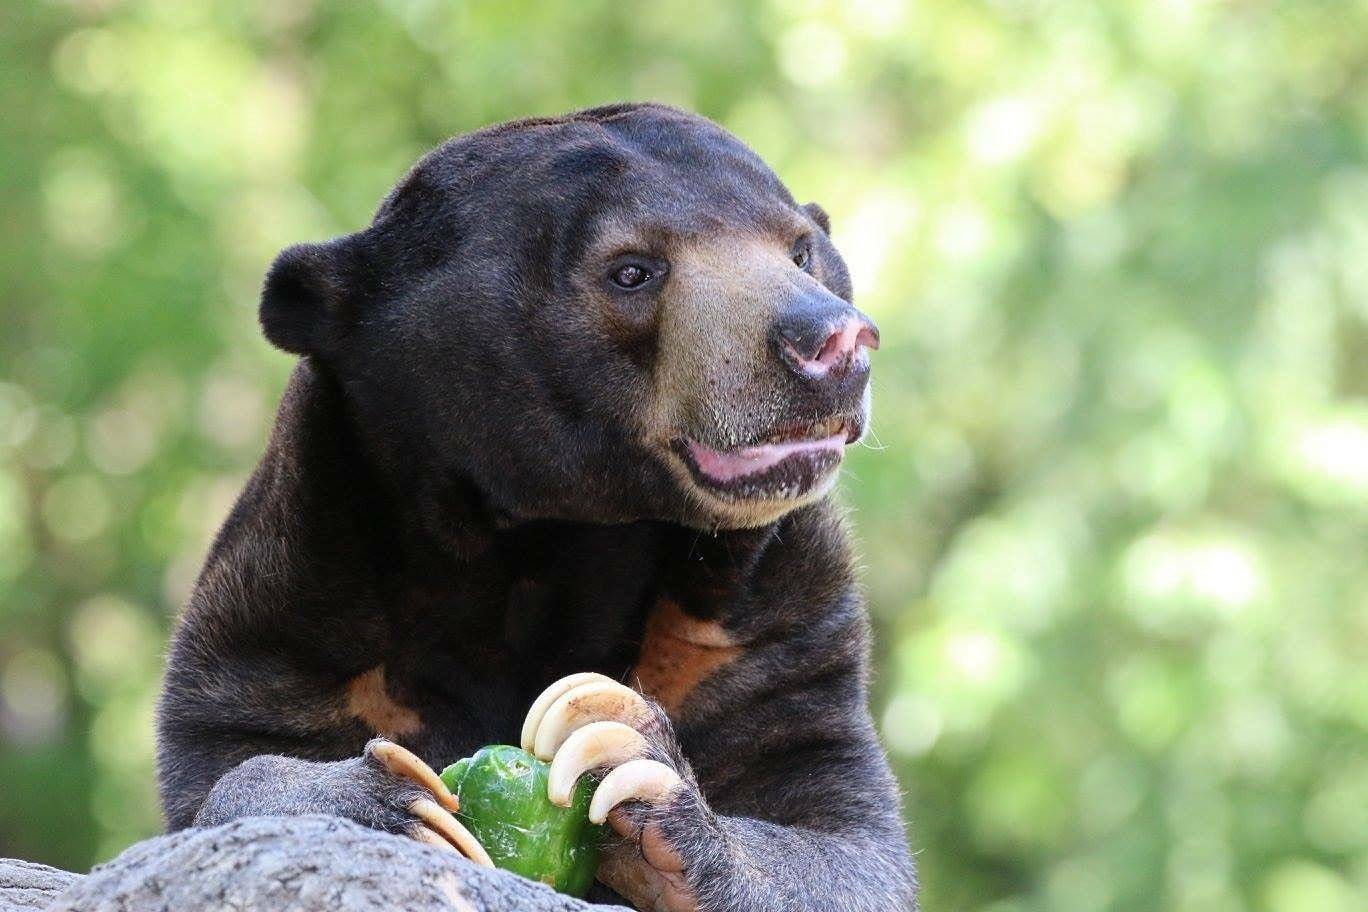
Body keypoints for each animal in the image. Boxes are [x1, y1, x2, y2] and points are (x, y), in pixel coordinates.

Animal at [155, 103, 917, 911]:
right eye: (631, 269)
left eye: (801, 252)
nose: (833, 340)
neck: (556, 538)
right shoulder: (298, 588)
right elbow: (234, 756)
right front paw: (391, 804)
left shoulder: (767, 624)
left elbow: (840, 836)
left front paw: (632, 757)